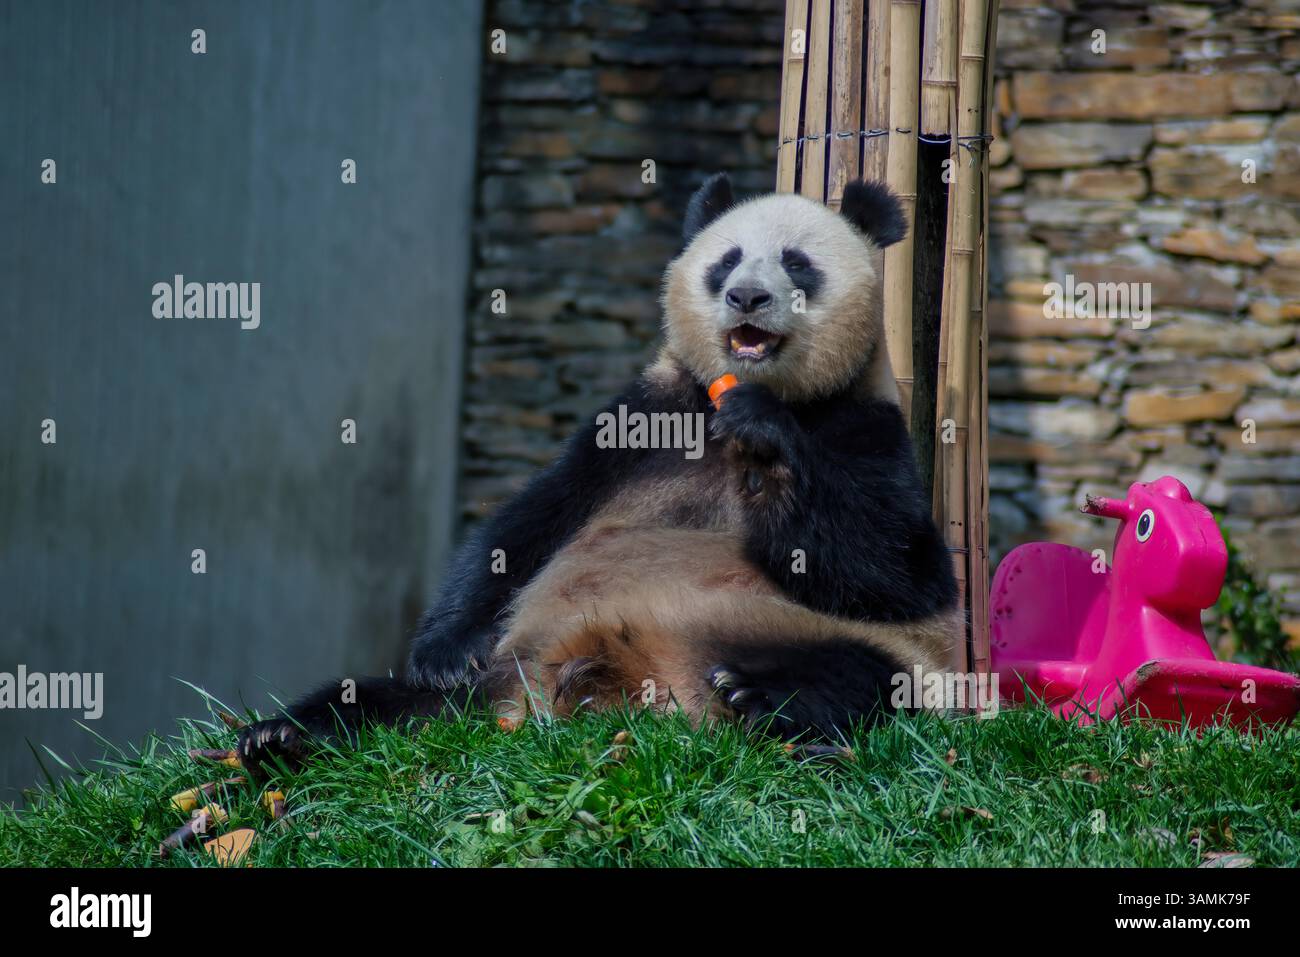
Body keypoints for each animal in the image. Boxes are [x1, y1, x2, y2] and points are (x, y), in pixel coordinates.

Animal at [237, 174, 960, 772]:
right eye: (726, 259)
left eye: (797, 262)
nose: (746, 295)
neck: (724, 404)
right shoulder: (640, 424)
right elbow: (530, 520)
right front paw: (443, 649)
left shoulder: (866, 427)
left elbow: (895, 572)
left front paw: (765, 438)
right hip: (500, 674)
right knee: (392, 702)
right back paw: (285, 737)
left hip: (859, 650)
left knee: (864, 679)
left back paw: (761, 697)